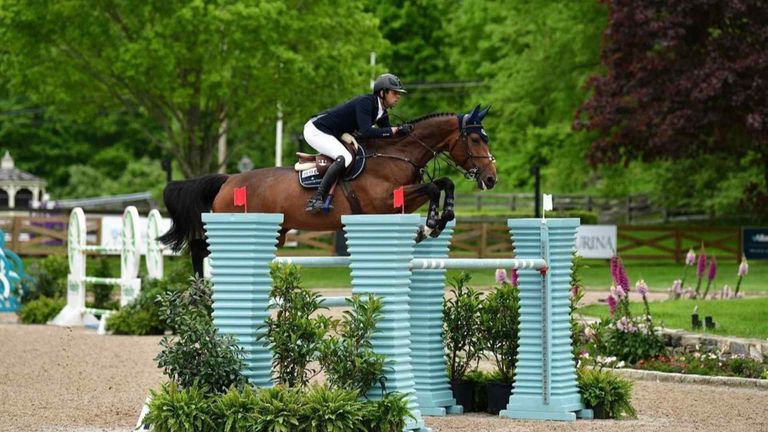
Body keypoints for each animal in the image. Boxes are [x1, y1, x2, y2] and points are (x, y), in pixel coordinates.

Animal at [159, 105, 497, 276]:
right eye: (476, 140)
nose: (492, 179)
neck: (396, 153)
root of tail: (228, 180)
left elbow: (443, 184)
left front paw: (441, 219)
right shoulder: (384, 202)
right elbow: (430, 187)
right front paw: (429, 226)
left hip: (276, 233)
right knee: (199, 248)